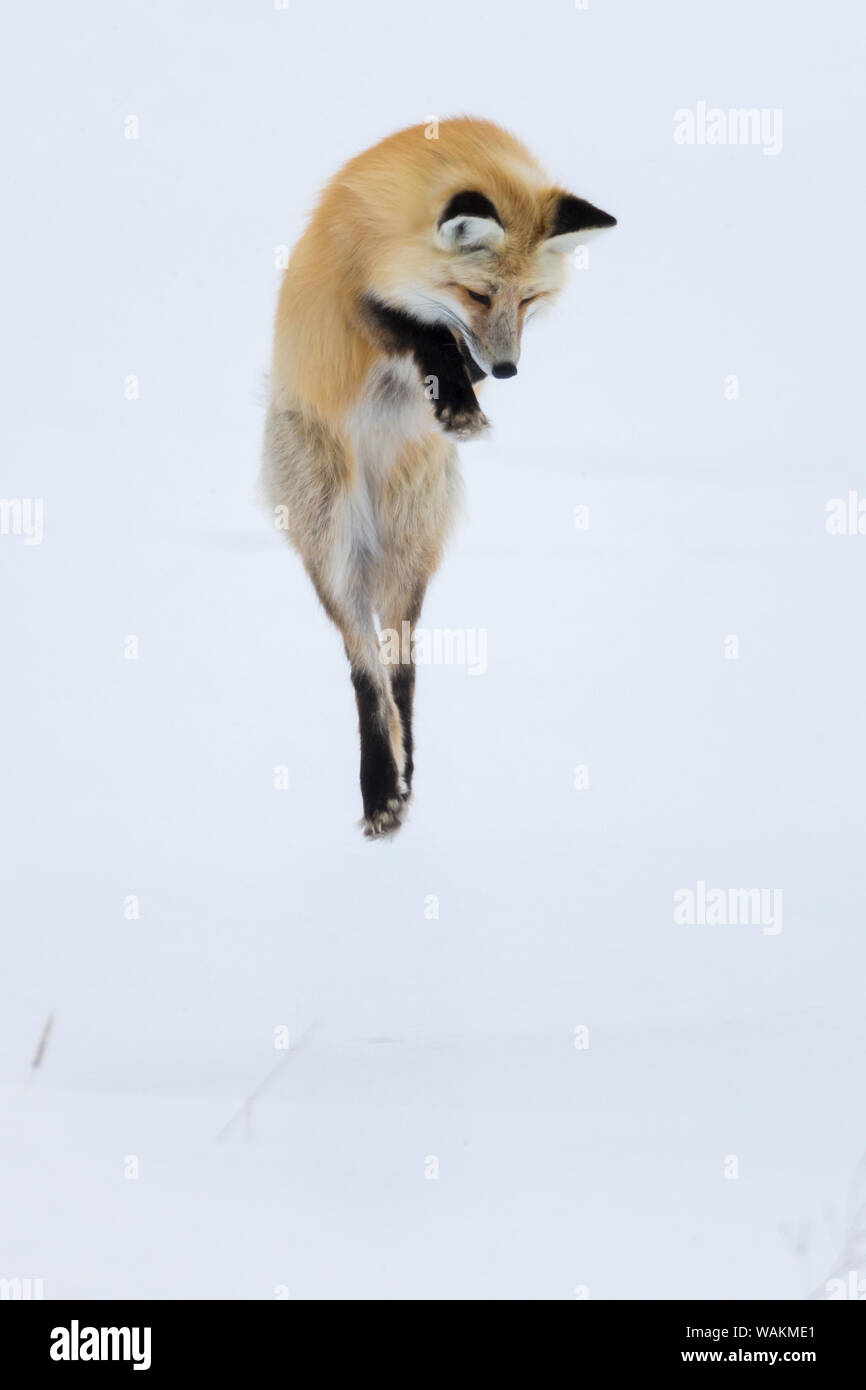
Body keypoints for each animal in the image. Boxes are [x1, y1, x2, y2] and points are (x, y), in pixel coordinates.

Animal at [261, 117, 616, 836]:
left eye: (530, 298)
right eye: (477, 293)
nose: (505, 371)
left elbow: (444, 344)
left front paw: (461, 395)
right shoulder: (348, 293)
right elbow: (423, 330)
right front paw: (455, 393)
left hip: (410, 553)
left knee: (401, 672)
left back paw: (405, 770)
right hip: (333, 543)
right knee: (364, 670)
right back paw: (380, 785)